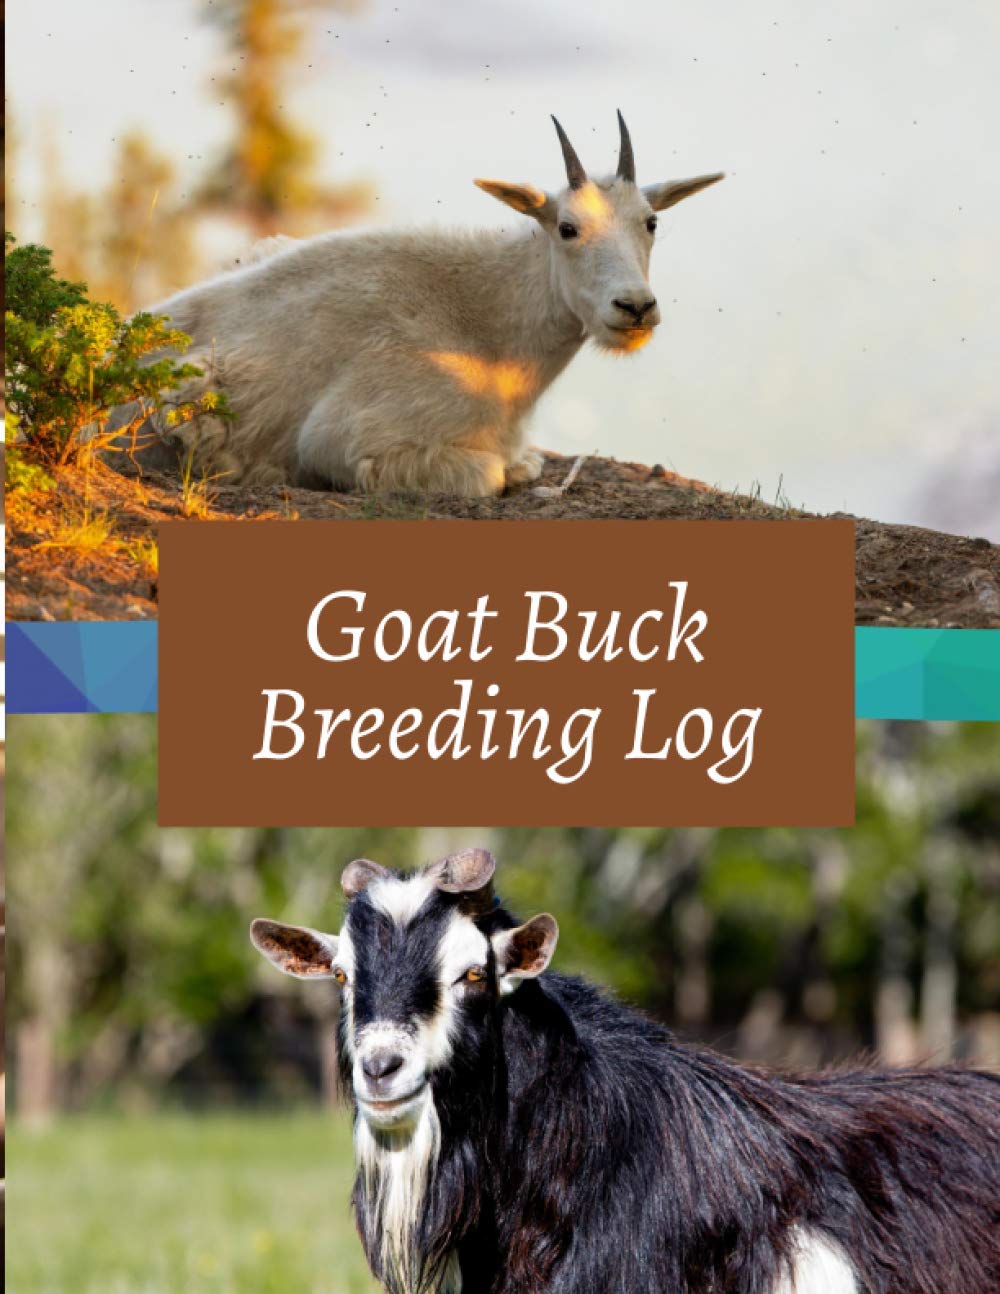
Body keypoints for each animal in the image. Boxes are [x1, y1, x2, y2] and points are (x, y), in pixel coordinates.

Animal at [136, 114, 723, 497]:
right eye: (567, 227)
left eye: (650, 221)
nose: (635, 308)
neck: (490, 331)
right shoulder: (350, 436)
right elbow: (488, 476)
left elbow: (525, 465)